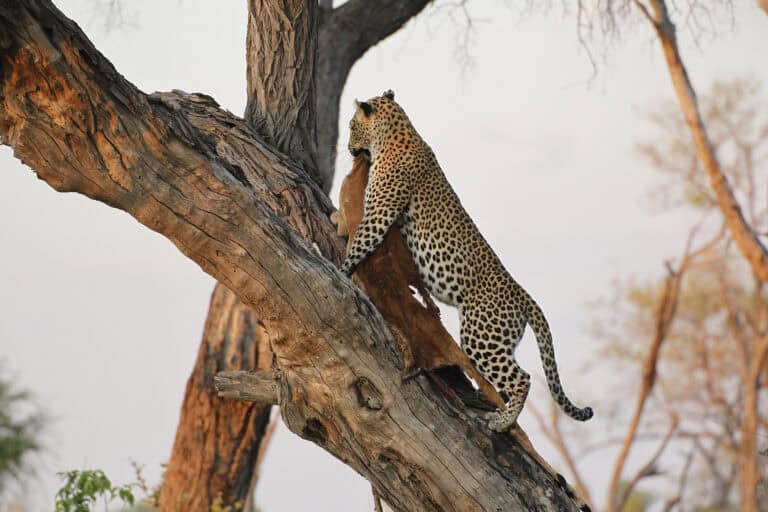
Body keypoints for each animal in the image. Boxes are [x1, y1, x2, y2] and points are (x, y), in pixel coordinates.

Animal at [339, 90, 593, 432]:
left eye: (351, 126)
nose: (348, 148)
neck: (398, 131)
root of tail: (523, 296)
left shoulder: (379, 215)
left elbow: (358, 245)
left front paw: (339, 268)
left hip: (480, 336)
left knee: (522, 379)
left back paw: (499, 423)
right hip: (498, 341)